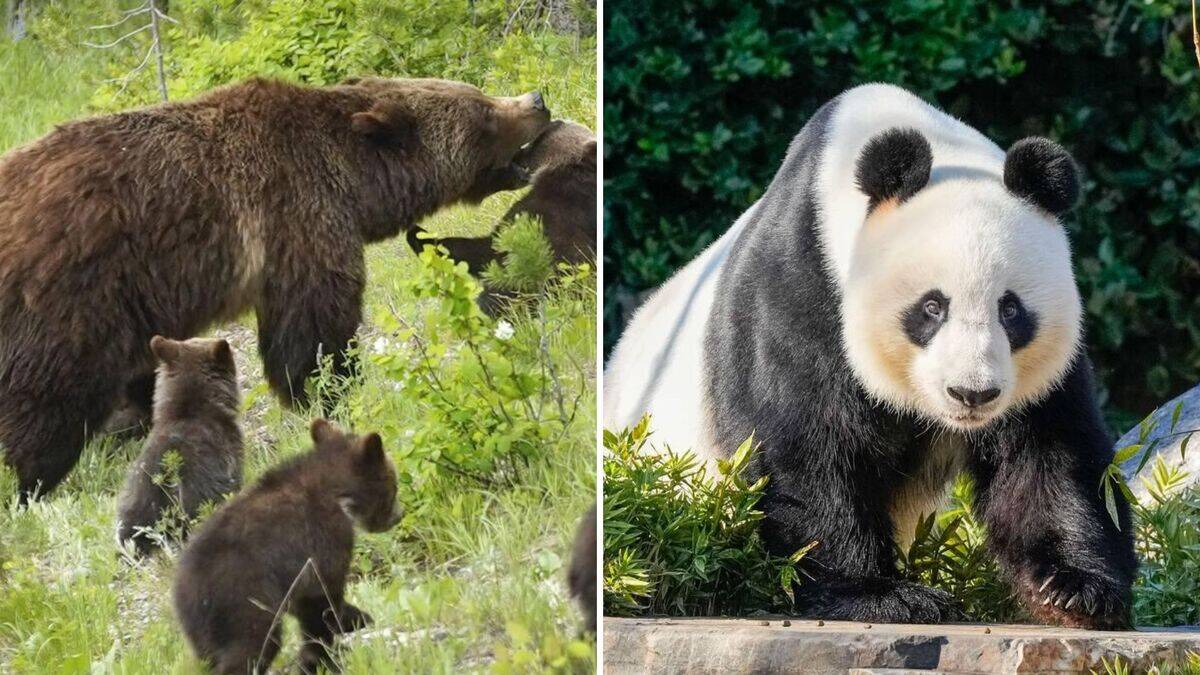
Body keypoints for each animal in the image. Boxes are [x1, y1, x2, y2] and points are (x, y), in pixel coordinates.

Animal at [0, 76, 550, 498]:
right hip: (69, 296)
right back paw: (28, 481)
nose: (537, 100)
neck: (355, 181)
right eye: (483, 112)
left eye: (477, 92)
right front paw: (332, 393)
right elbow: (313, 328)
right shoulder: (297, 215)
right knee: (43, 400)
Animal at [172, 418, 401, 674]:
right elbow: (321, 599)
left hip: (202, 631)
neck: (337, 494)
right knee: (253, 645)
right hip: (245, 600)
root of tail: (186, 591)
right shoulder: (323, 538)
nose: (399, 515)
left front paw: (356, 617)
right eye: (395, 485)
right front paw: (324, 652)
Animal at [604, 84, 1136, 629]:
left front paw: (1072, 589)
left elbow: (1049, 453)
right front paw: (881, 594)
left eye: (1010, 309)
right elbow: (803, 446)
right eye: (931, 307)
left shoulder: (1041, 371)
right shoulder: (801, 286)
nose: (972, 394)